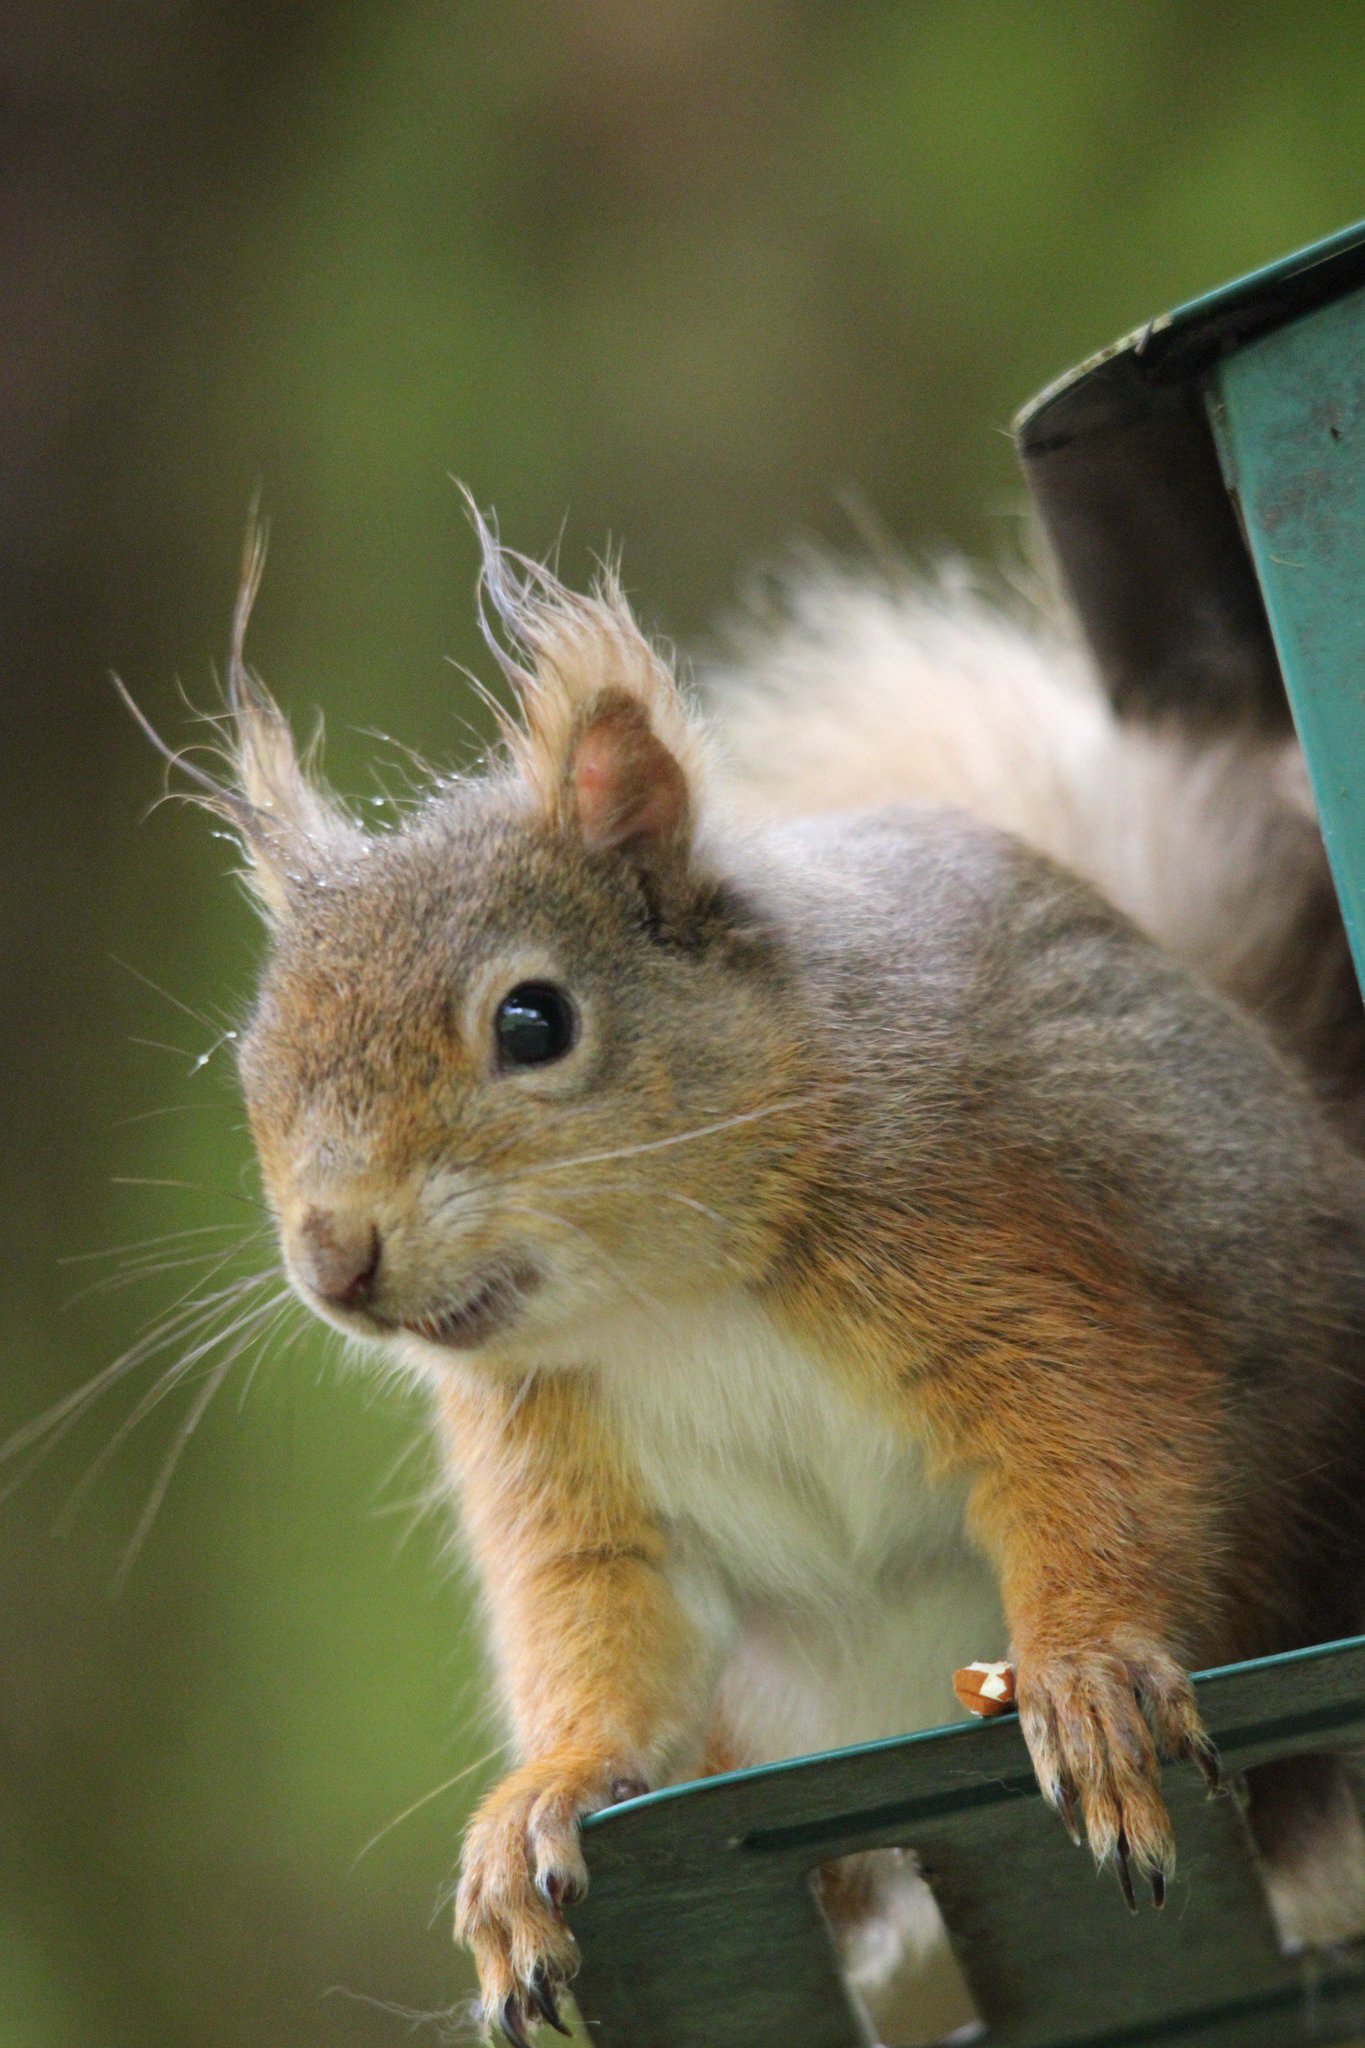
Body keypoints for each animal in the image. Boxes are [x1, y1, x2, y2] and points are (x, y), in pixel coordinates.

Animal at [131, 520, 1365, 2045]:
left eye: (533, 1021)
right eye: (254, 1057)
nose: (333, 1259)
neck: (664, 1299)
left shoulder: (1027, 1256)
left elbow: (1100, 1458)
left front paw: (1085, 1675)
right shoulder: (564, 1475)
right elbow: (603, 1635)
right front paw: (541, 1801)